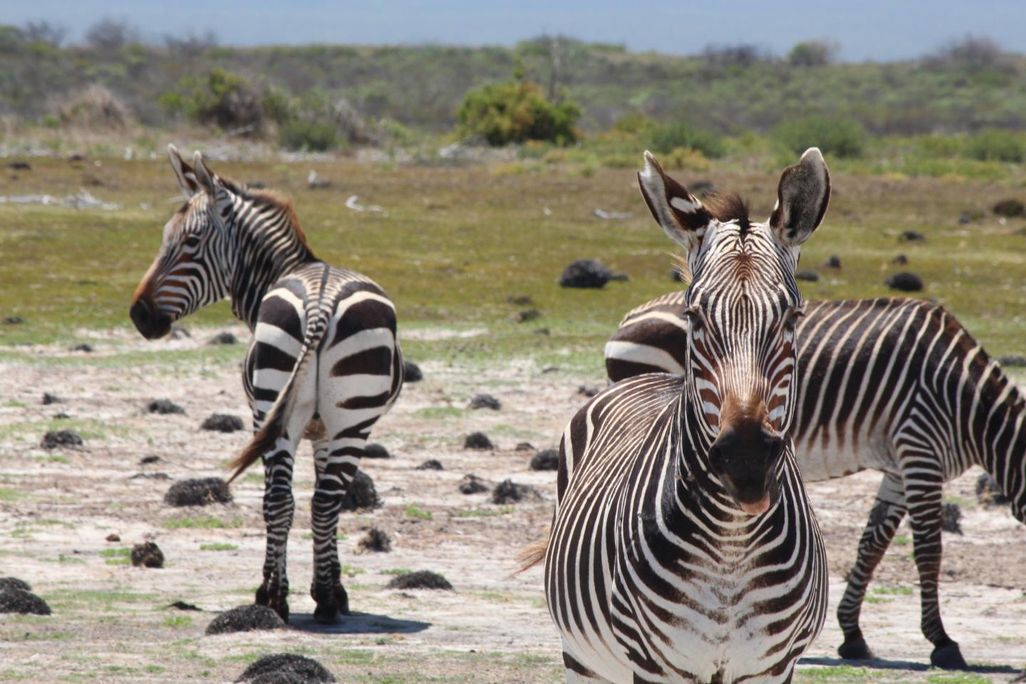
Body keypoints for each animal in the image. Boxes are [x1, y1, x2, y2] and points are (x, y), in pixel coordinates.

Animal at [130, 145, 403, 624]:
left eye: (190, 243)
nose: (138, 315)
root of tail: (320, 304)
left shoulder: (294, 422)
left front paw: (322, 586)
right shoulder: (318, 429)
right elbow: (314, 499)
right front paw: (331, 587)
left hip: (288, 410)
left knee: (287, 499)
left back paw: (280, 596)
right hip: (336, 419)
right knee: (313, 501)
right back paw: (307, 599)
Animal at [529, 149, 832, 682]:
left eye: (793, 317)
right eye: (693, 315)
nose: (747, 461)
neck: (732, 544)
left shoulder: (773, 667)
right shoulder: (655, 664)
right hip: (583, 658)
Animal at [606, 293, 1026, 669]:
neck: (966, 399)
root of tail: (630, 316)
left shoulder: (897, 467)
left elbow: (872, 544)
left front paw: (852, 635)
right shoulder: (919, 448)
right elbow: (928, 551)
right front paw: (942, 642)